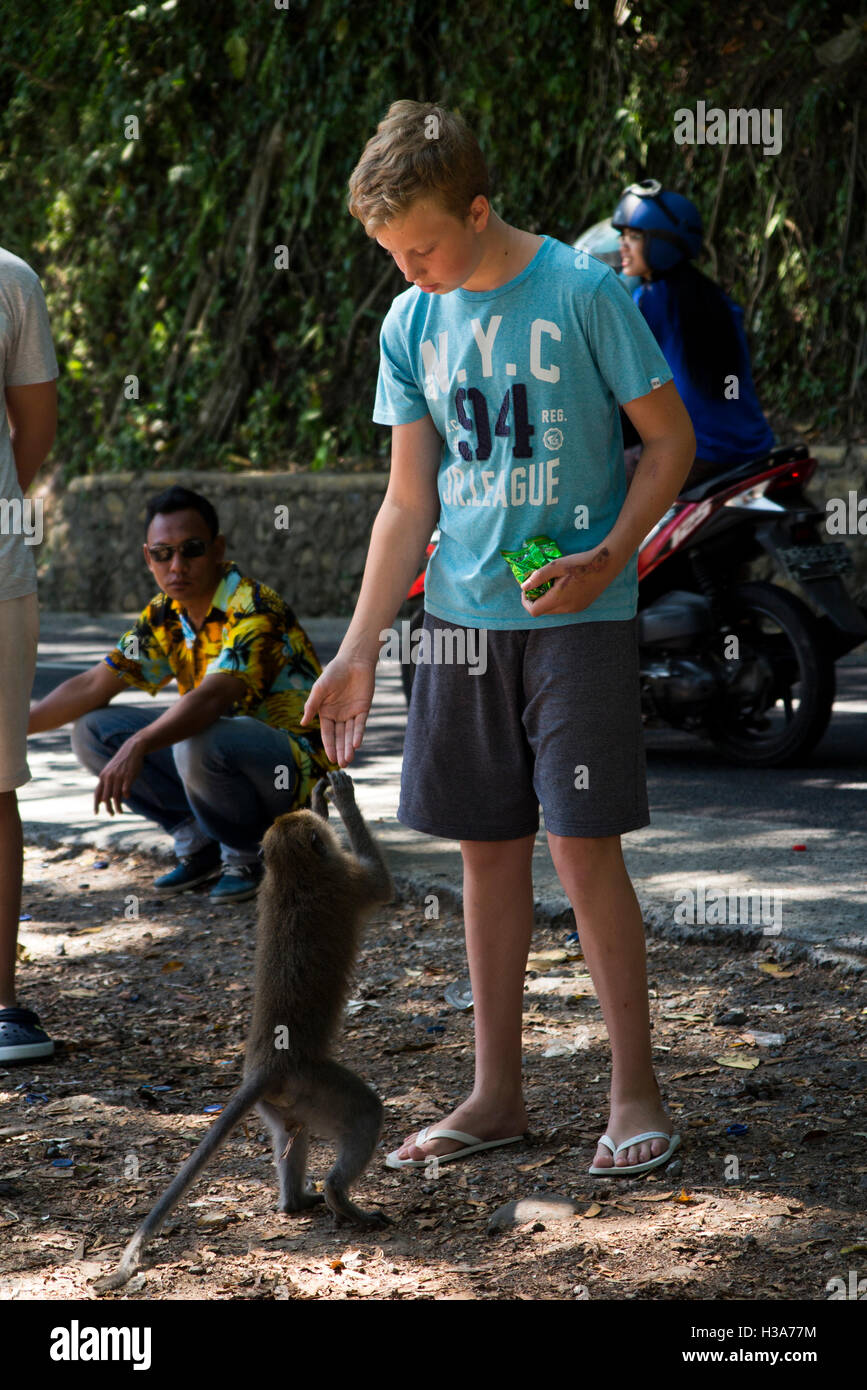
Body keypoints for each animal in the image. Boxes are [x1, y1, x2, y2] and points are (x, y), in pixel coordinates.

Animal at [94, 768, 394, 1292]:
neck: (294, 874)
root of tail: (268, 1067)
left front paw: (321, 795)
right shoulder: (349, 882)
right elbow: (381, 882)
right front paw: (342, 794)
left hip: (282, 1101)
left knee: (291, 1132)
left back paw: (297, 1202)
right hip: (314, 1083)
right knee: (365, 1112)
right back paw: (338, 1195)